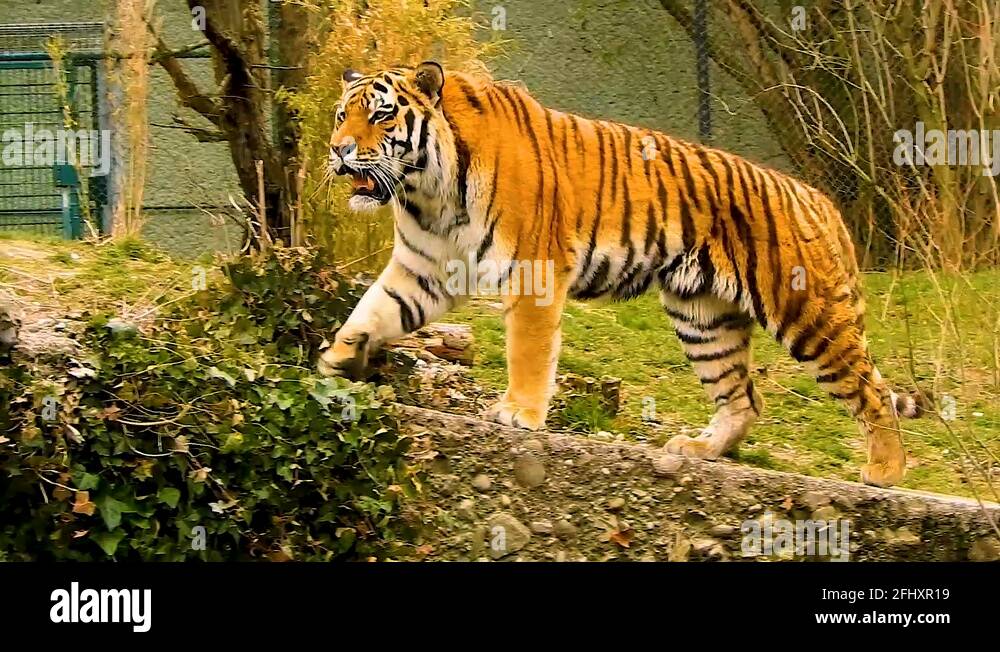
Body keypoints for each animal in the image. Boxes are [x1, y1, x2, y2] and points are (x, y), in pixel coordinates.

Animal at [317, 61, 924, 488]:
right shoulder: (423, 268)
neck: (426, 191)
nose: (338, 151)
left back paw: (885, 472)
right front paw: (335, 361)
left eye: (381, 115)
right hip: (703, 319)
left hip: (805, 313)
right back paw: (697, 450)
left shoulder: (534, 272)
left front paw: (518, 414)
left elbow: (529, 350)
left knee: (871, 389)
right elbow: (373, 310)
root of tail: (818, 198)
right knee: (744, 400)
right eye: (342, 115)